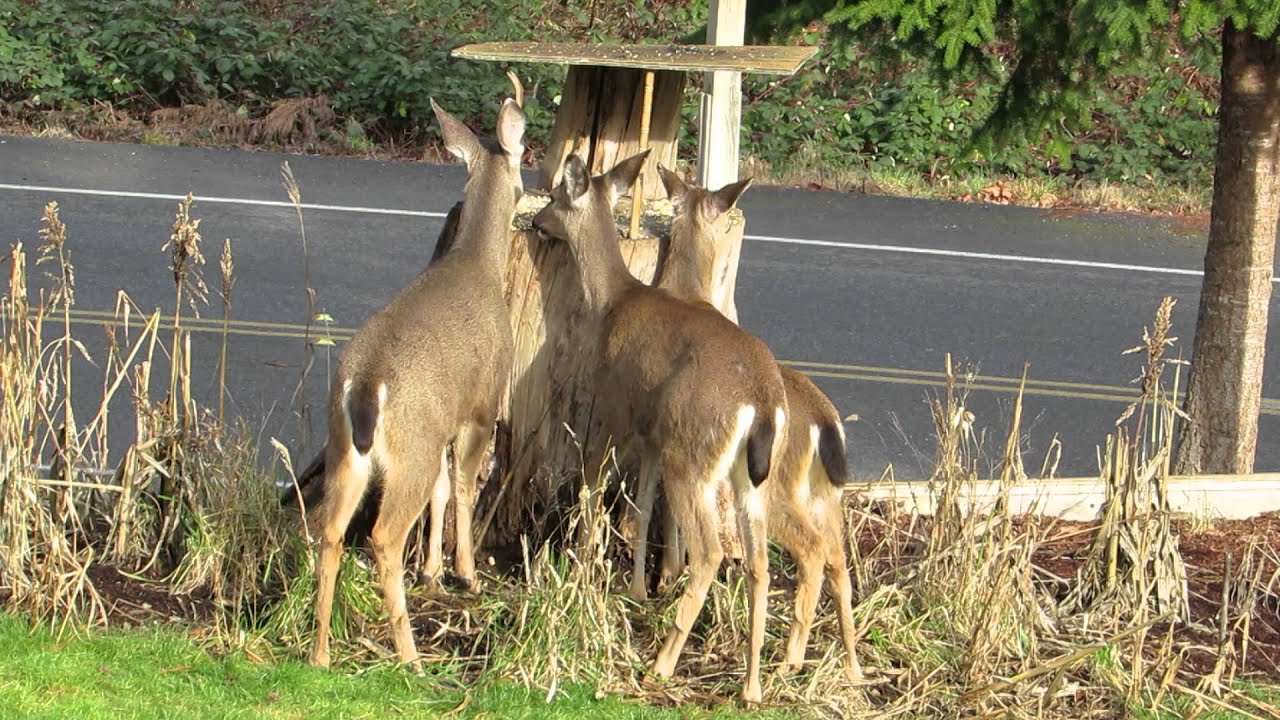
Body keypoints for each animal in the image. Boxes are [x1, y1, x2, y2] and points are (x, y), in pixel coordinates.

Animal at [307, 94, 524, 670]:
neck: (479, 264)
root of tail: (365, 384)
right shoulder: (481, 405)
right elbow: (465, 486)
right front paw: (465, 574)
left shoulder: (447, 419)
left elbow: (443, 491)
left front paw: (432, 571)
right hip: (410, 448)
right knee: (381, 536)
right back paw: (410, 658)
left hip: (345, 447)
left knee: (331, 531)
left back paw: (320, 654)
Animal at [530, 151, 788, 703]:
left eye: (557, 197)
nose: (537, 222)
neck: (613, 302)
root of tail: (762, 400)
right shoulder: (651, 435)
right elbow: (644, 505)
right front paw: (635, 591)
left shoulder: (614, 410)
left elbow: (591, 490)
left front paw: (582, 571)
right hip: (748, 474)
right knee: (759, 562)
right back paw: (752, 684)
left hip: (692, 452)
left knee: (711, 553)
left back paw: (661, 665)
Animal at [627, 166, 864, 683]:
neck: (687, 292)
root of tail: (824, 420)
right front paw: (662, 576)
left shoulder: (657, 436)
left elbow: (646, 505)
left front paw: (650, 583)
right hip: (818, 493)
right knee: (835, 559)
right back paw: (845, 668)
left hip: (756, 481)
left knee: (801, 551)